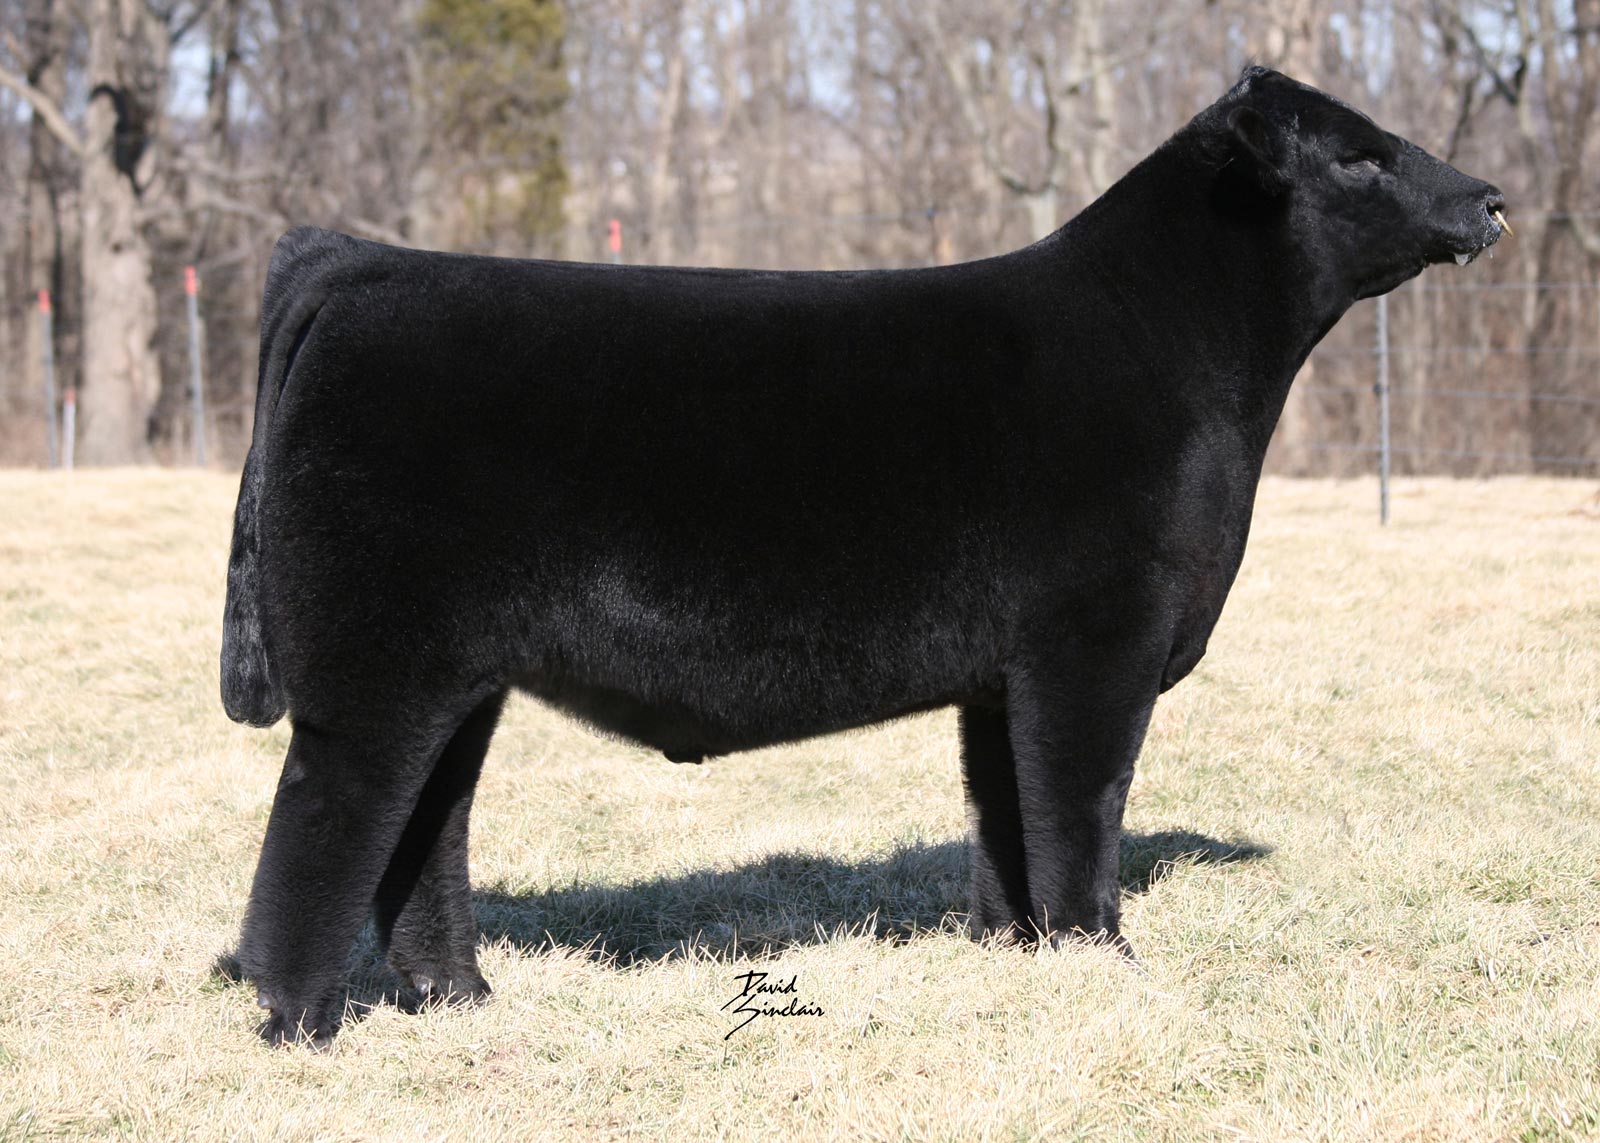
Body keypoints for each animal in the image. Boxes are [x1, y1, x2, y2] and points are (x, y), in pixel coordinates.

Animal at [221, 66, 1506, 1046]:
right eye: (1359, 158)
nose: (1490, 198)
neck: (1176, 353)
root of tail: (364, 262)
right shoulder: (1098, 641)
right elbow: (1083, 803)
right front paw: (1103, 958)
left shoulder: (1006, 670)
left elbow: (1006, 811)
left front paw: (1017, 948)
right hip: (374, 669)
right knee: (326, 822)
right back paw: (303, 1024)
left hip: (460, 674)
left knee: (427, 826)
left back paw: (461, 998)